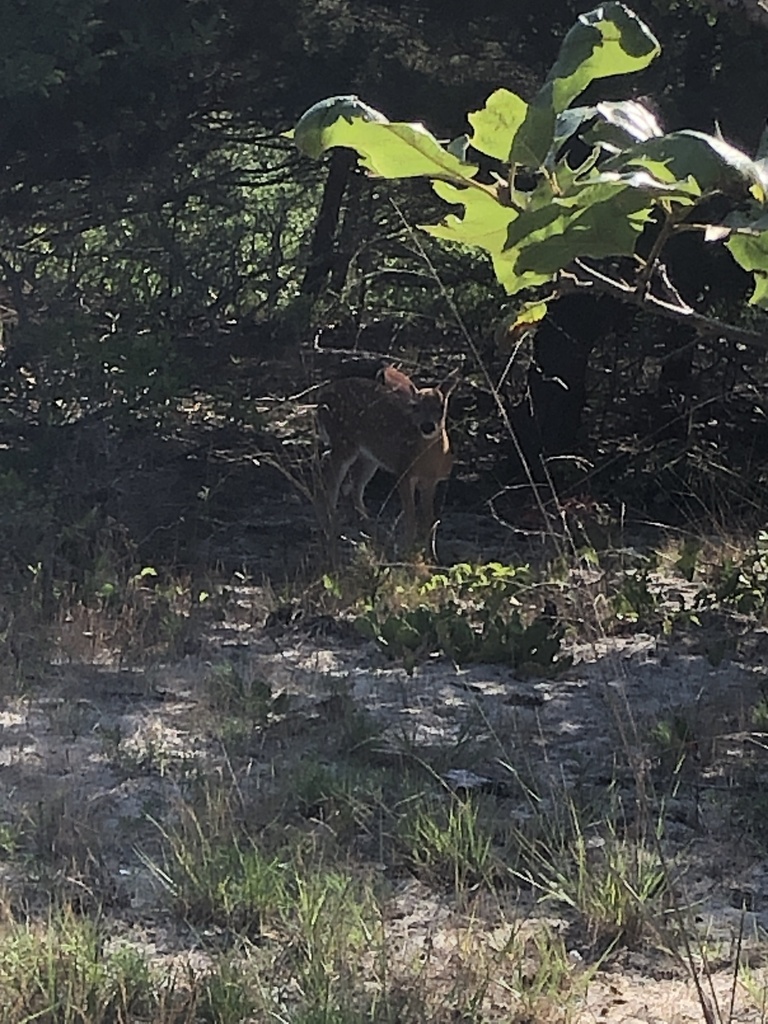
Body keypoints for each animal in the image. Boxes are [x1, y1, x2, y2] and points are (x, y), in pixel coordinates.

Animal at [316, 365, 458, 550]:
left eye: (441, 406)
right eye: (415, 407)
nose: (427, 426)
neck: (428, 462)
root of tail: (320, 398)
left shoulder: (430, 482)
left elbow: (429, 520)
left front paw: (430, 554)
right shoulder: (403, 472)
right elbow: (411, 517)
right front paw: (408, 551)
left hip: (369, 457)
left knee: (352, 484)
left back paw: (369, 532)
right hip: (344, 440)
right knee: (332, 472)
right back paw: (332, 528)